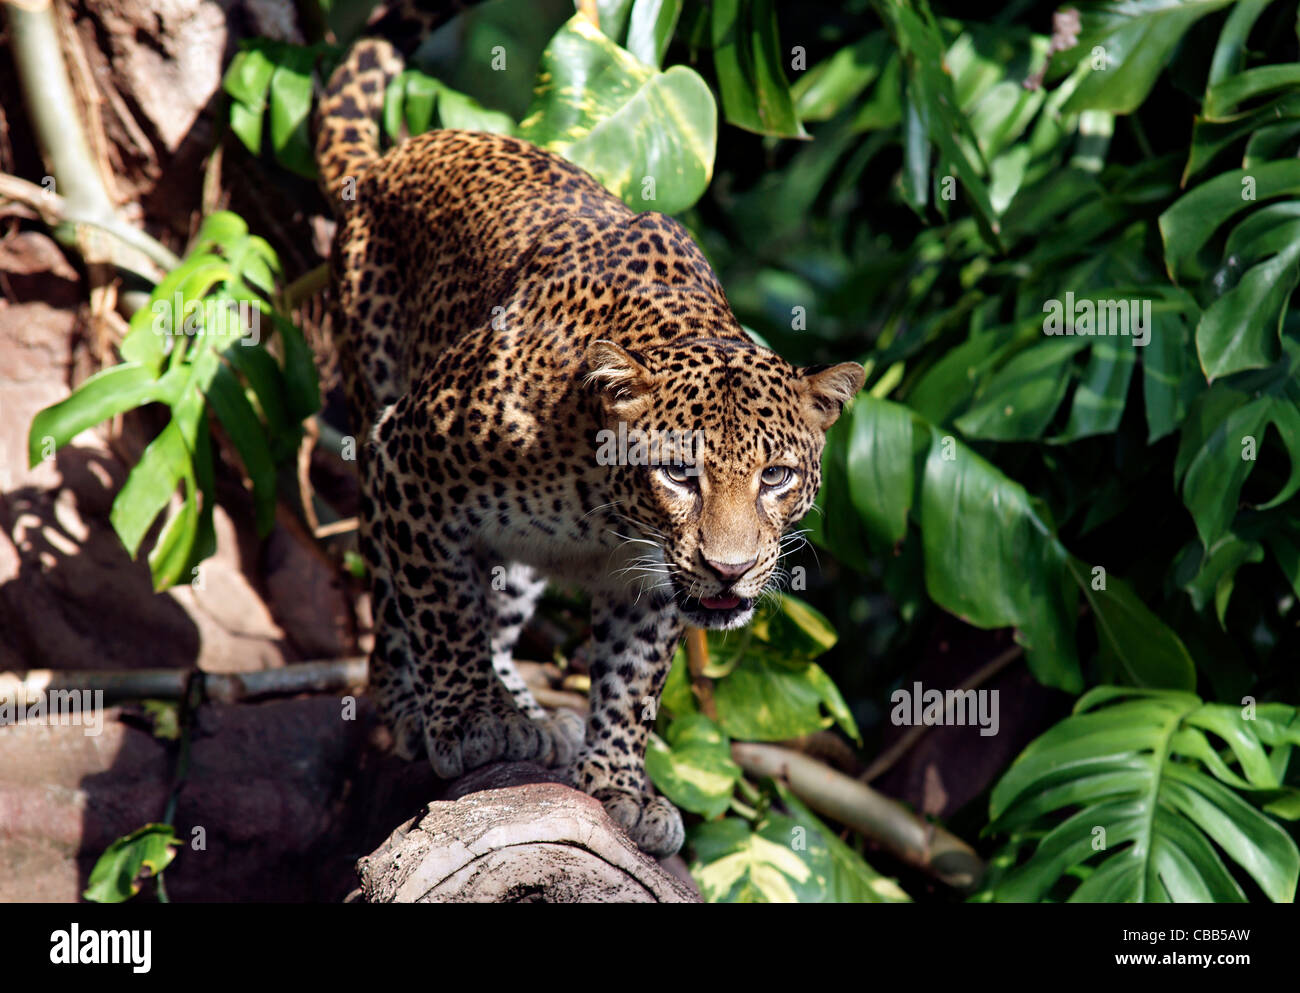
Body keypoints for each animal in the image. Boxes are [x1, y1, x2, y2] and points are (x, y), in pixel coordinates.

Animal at [313, 9, 865, 857]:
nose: (733, 568)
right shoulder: (408, 455)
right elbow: (439, 607)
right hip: (376, 412)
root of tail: (395, 155)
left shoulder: (654, 579)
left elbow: (635, 678)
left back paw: (527, 708)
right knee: (395, 589)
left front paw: (621, 786)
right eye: (679, 473)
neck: (602, 510)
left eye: (774, 476)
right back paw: (422, 703)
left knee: (497, 606)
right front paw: (468, 719)